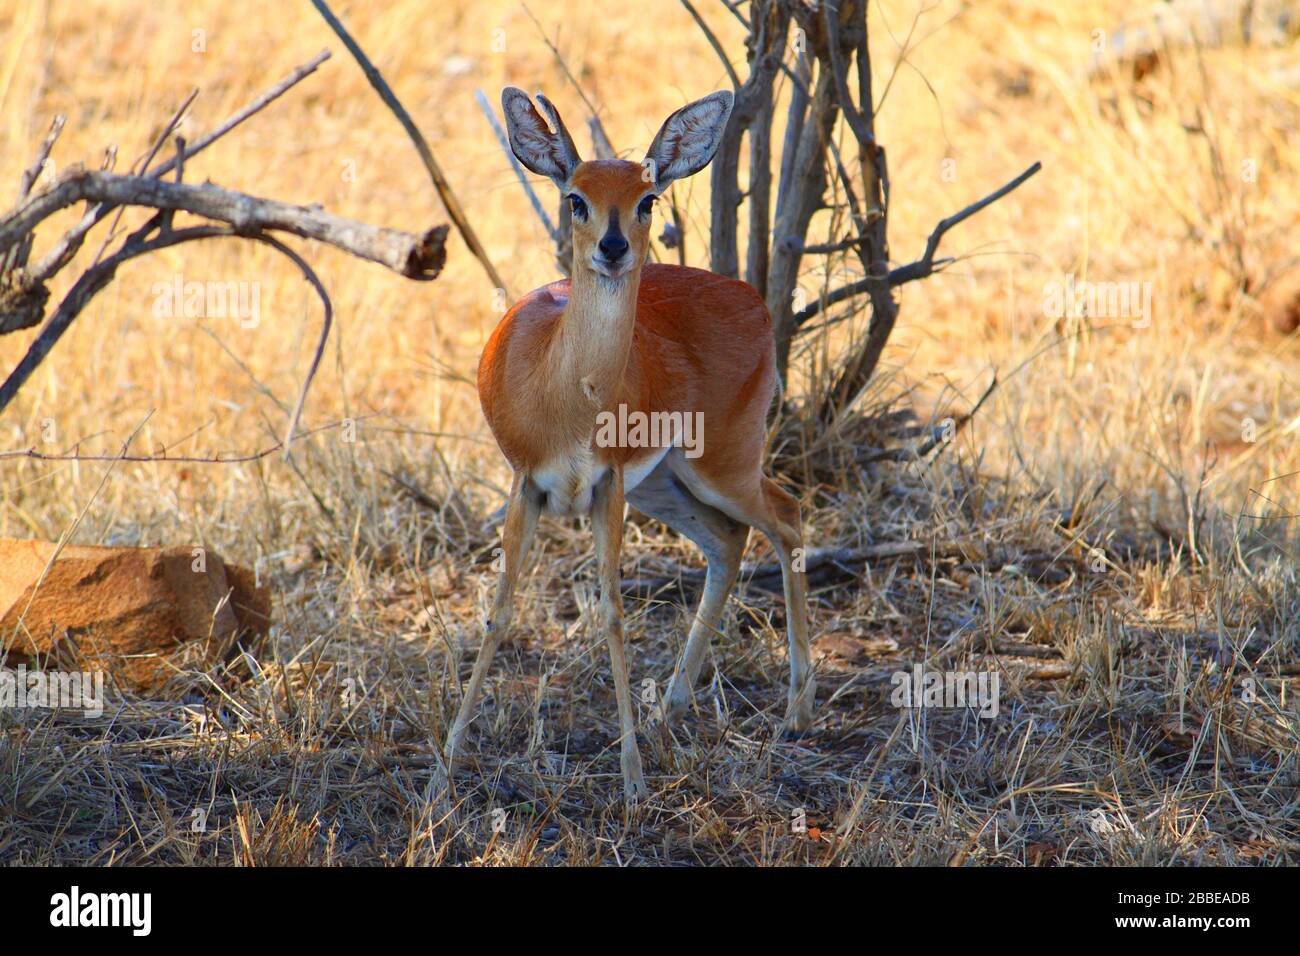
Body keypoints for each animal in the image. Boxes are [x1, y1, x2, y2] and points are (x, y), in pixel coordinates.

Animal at [443, 88, 815, 803]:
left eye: (647, 199)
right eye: (575, 197)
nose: (613, 248)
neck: (566, 391)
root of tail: (751, 297)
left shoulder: (604, 485)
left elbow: (613, 612)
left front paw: (634, 779)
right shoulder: (528, 484)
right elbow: (501, 610)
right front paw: (445, 766)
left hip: (720, 463)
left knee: (786, 519)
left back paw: (794, 712)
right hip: (667, 484)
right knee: (728, 541)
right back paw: (672, 706)